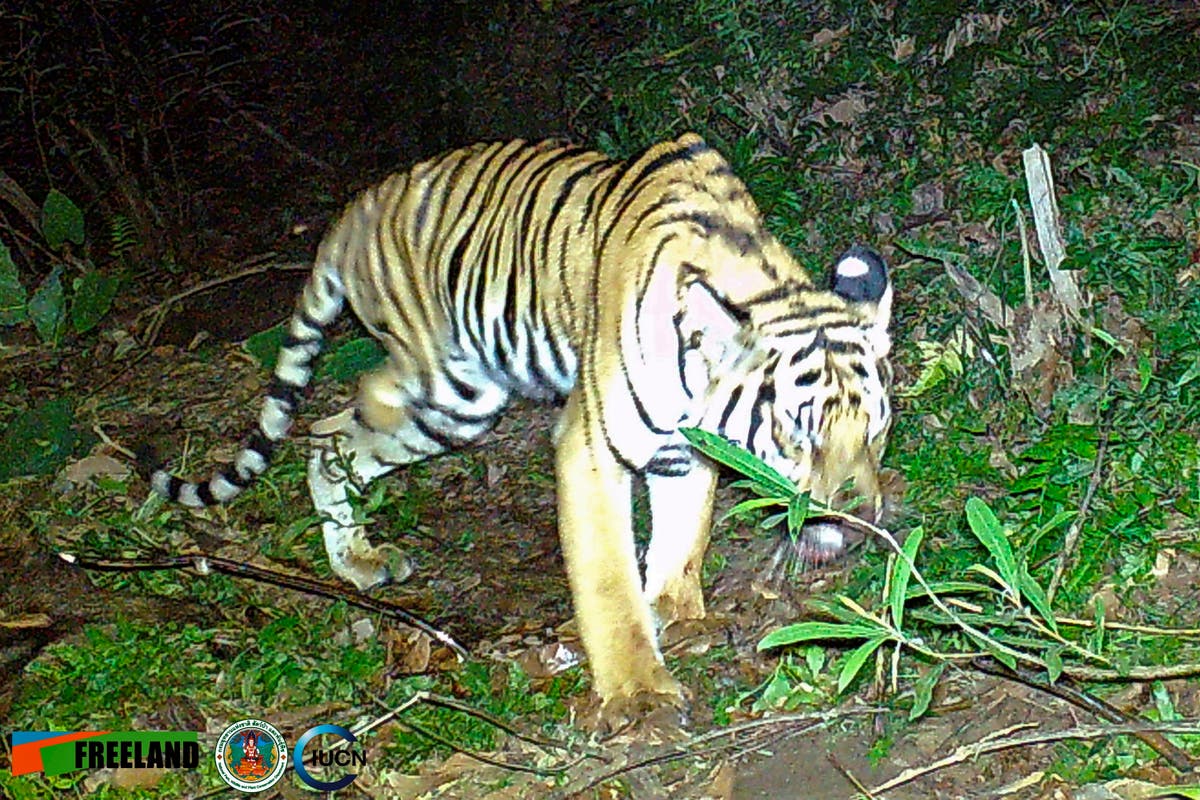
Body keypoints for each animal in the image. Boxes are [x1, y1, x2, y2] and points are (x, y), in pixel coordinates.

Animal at [150, 133, 893, 720]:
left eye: (876, 433)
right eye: (798, 435)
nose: (861, 522)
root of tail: (354, 210)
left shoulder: (685, 454)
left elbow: (682, 541)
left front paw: (677, 615)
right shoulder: (593, 449)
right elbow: (608, 580)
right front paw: (638, 692)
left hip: (455, 409)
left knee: (331, 435)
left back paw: (358, 560)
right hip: (450, 389)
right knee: (346, 412)